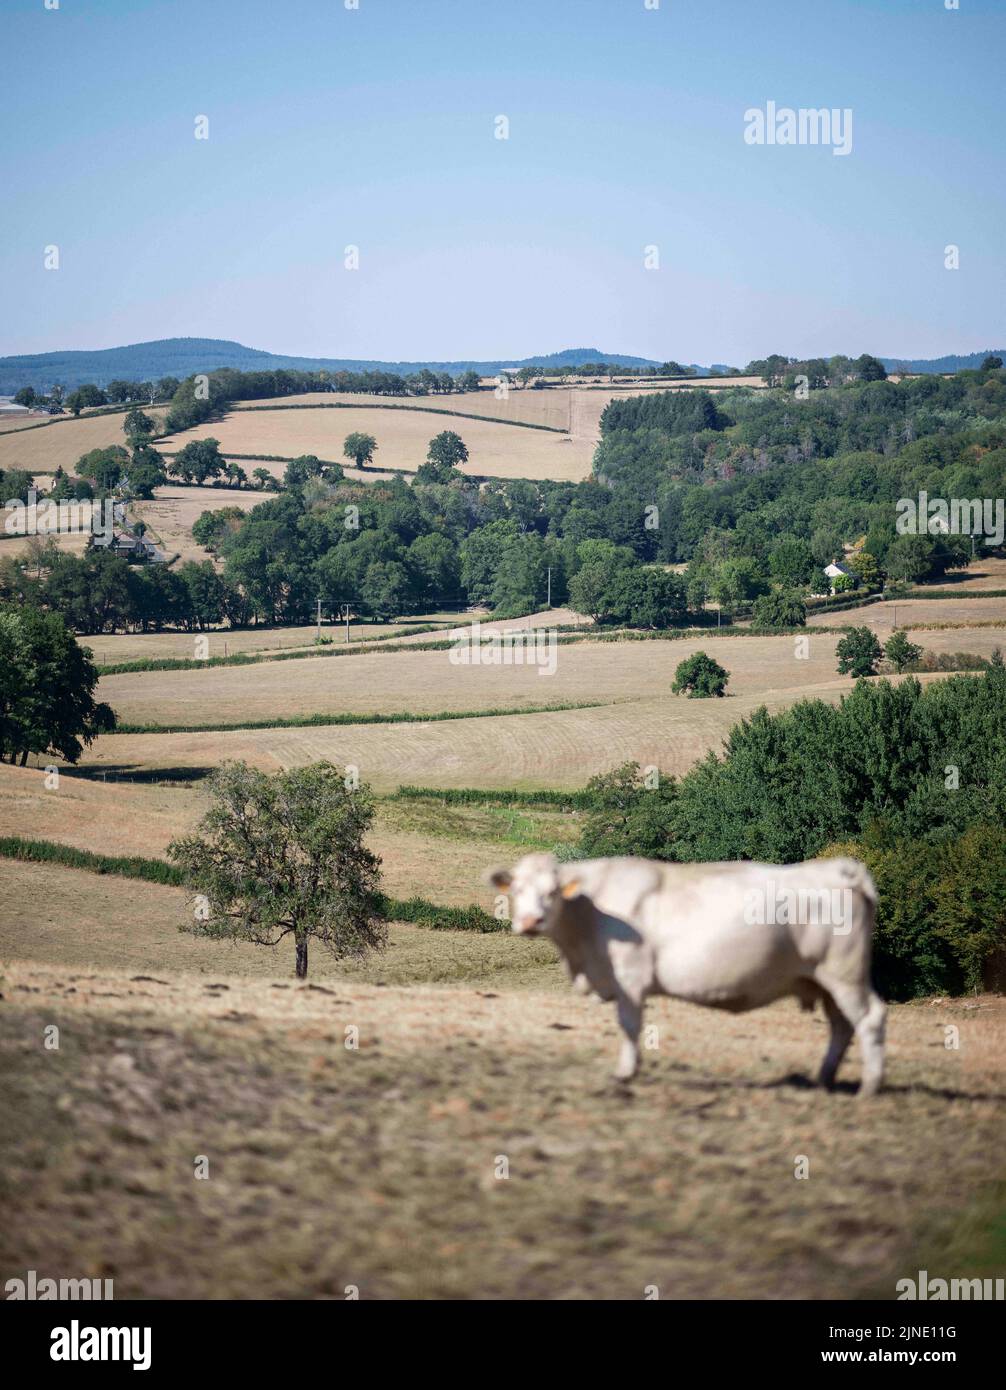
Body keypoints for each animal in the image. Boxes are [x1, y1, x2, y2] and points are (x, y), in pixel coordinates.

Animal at [488, 853, 886, 1094]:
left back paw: (869, 1086)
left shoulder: (630, 977)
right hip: (827, 982)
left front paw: (625, 1072)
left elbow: (629, 1025)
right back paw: (824, 1079)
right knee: (841, 1026)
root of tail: (839, 868)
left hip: (845, 974)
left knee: (870, 1018)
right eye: (517, 889)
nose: (530, 921)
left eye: (552, 892)